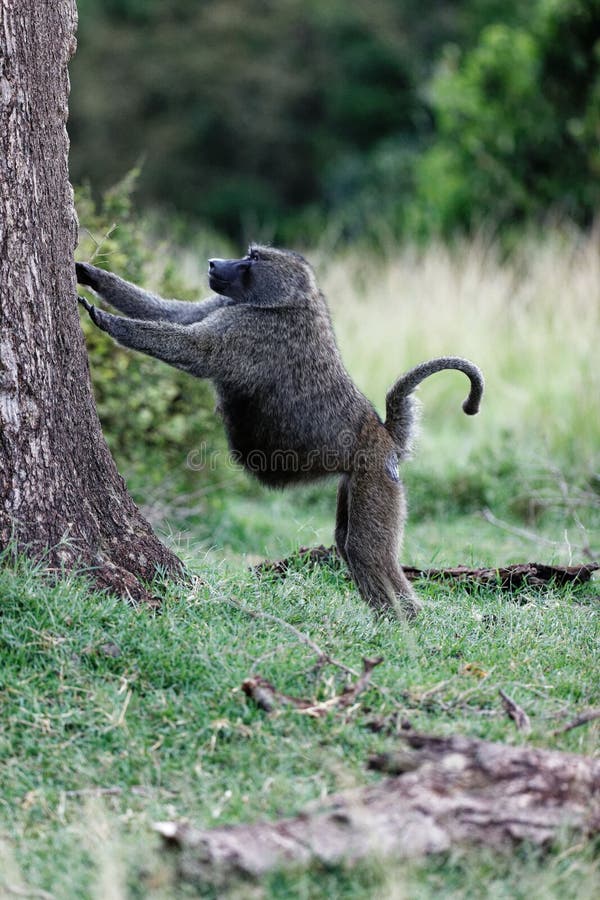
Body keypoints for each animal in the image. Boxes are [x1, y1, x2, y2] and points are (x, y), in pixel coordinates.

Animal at [76, 246, 484, 620]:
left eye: (252, 258)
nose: (213, 262)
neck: (292, 301)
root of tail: (384, 435)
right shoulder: (229, 306)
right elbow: (169, 313)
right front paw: (87, 273)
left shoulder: (252, 329)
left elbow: (193, 348)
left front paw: (104, 319)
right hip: (359, 481)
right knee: (349, 544)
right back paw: (392, 620)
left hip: (376, 479)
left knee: (366, 551)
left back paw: (409, 623)